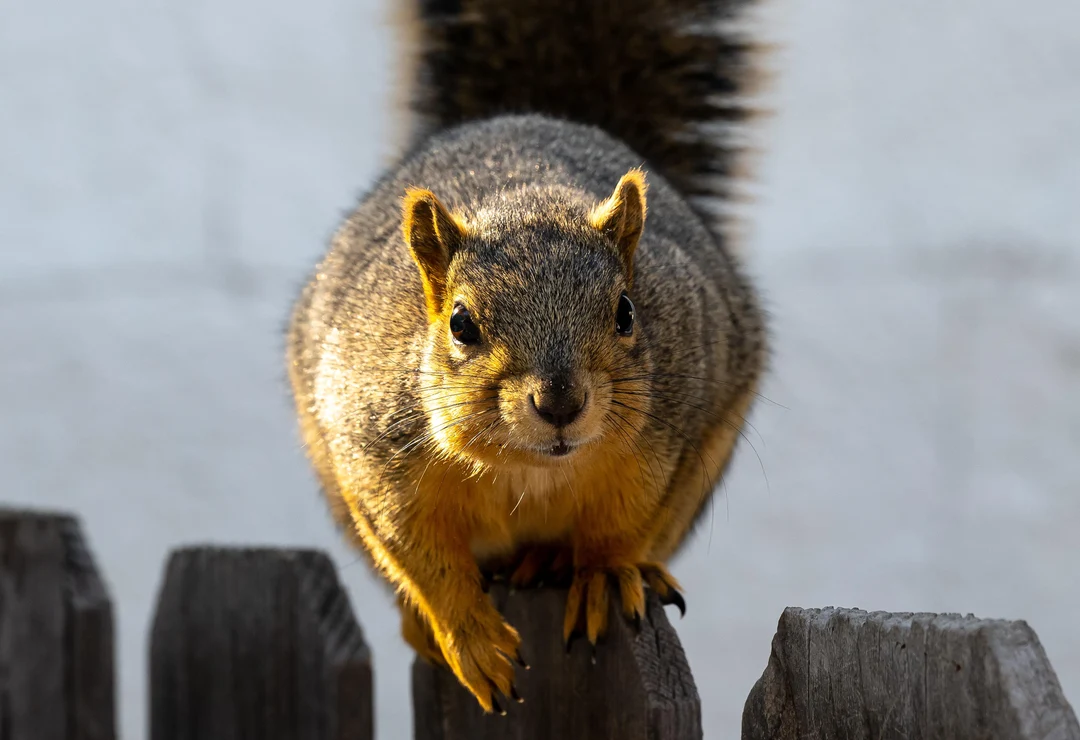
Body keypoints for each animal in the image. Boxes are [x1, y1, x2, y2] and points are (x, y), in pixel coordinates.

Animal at [286, 0, 767, 715]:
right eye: (460, 323)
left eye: (627, 312)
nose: (561, 403)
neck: (528, 468)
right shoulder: (371, 447)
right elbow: (420, 553)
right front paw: (467, 632)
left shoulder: (671, 430)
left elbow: (626, 517)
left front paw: (602, 573)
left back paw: (559, 563)